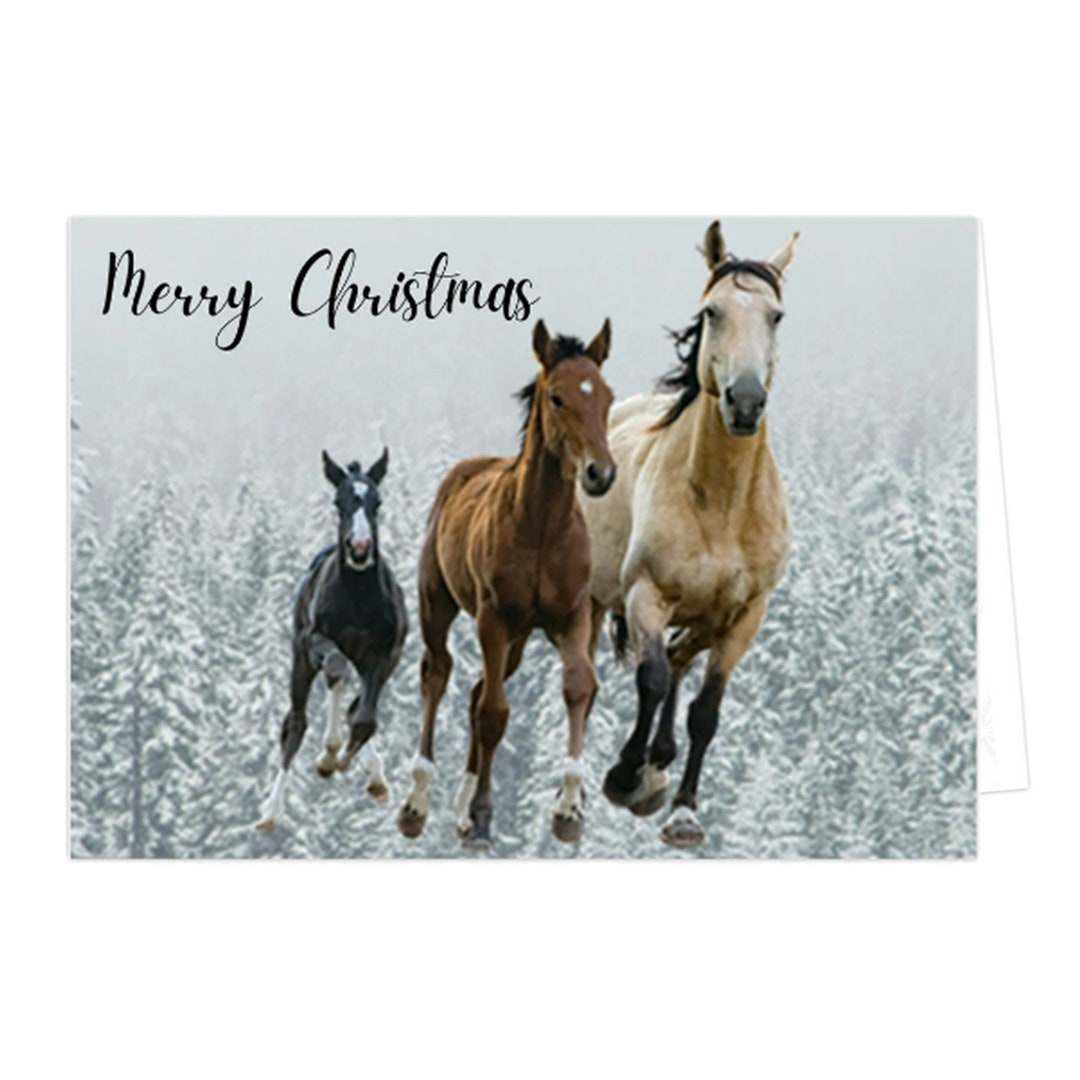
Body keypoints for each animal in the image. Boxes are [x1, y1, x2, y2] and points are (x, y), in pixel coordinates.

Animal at [255, 448, 408, 831]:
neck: (357, 598)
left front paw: (350, 761)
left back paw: (370, 772)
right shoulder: (314, 642)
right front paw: (330, 755)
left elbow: (365, 718)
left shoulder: (383, 654)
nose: (360, 548)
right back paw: (272, 810)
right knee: (296, 721)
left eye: (377, 502)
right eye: (338, 502)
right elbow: (336, 671)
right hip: (300, 659)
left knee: (352, 701)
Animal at [397, 319, 616, 850]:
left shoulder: (573, 616)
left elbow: (578, 687)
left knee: (477, 689)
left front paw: (567, 812)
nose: (600, 473)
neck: (540, 529)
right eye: (557, 397)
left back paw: (460, 813)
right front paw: (480, 815)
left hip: (517, 639)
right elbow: (495, 713)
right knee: (438, 673)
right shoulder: (493, 618)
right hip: (440, 604)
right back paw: (417, 803)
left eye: (607, 396)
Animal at [580, 220, 797, 848]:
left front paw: (682, 812)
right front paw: (626, 775)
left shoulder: (746, 615)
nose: (745, 402)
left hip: (706, 615)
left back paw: (660, 761)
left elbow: (706, 709)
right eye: (713, 311)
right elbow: (650, 679)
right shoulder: (645, 594)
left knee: (681, 655)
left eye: (776, 316)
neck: (721, 504)